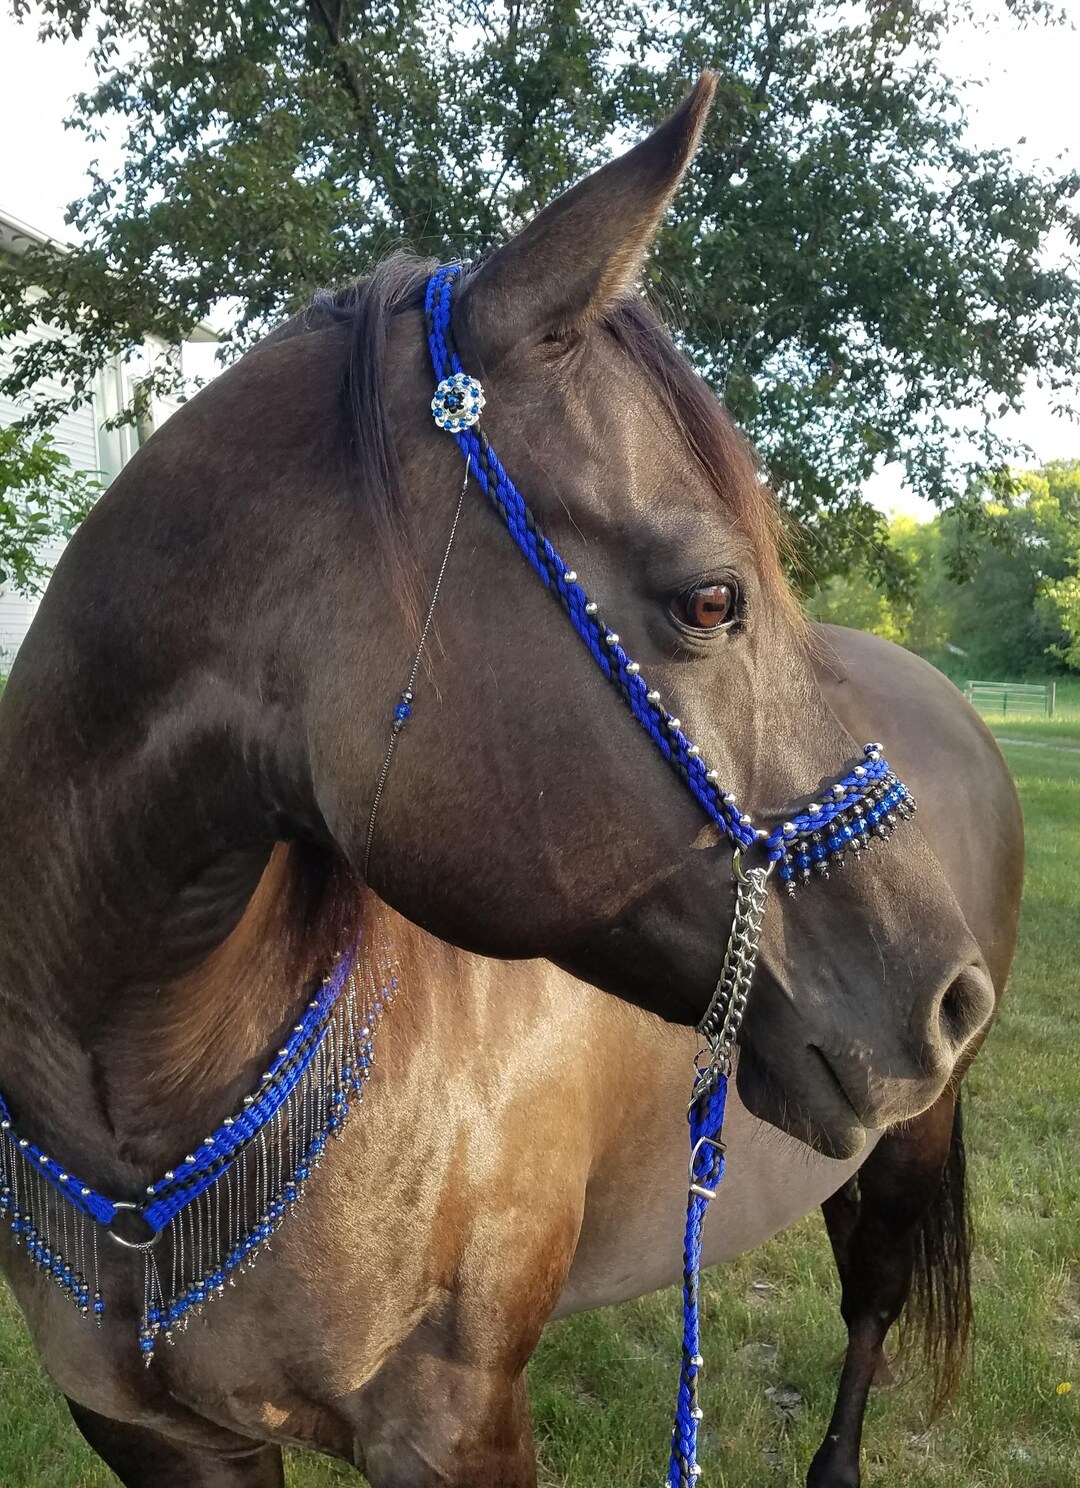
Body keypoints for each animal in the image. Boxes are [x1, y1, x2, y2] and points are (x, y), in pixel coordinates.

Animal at [0, 75, 1019, 1486]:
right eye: (713, 599)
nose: (949, 994)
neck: (143, 1082)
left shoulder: (461, 1426)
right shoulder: (156, 1440)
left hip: (914, 1134)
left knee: (872, 1290)